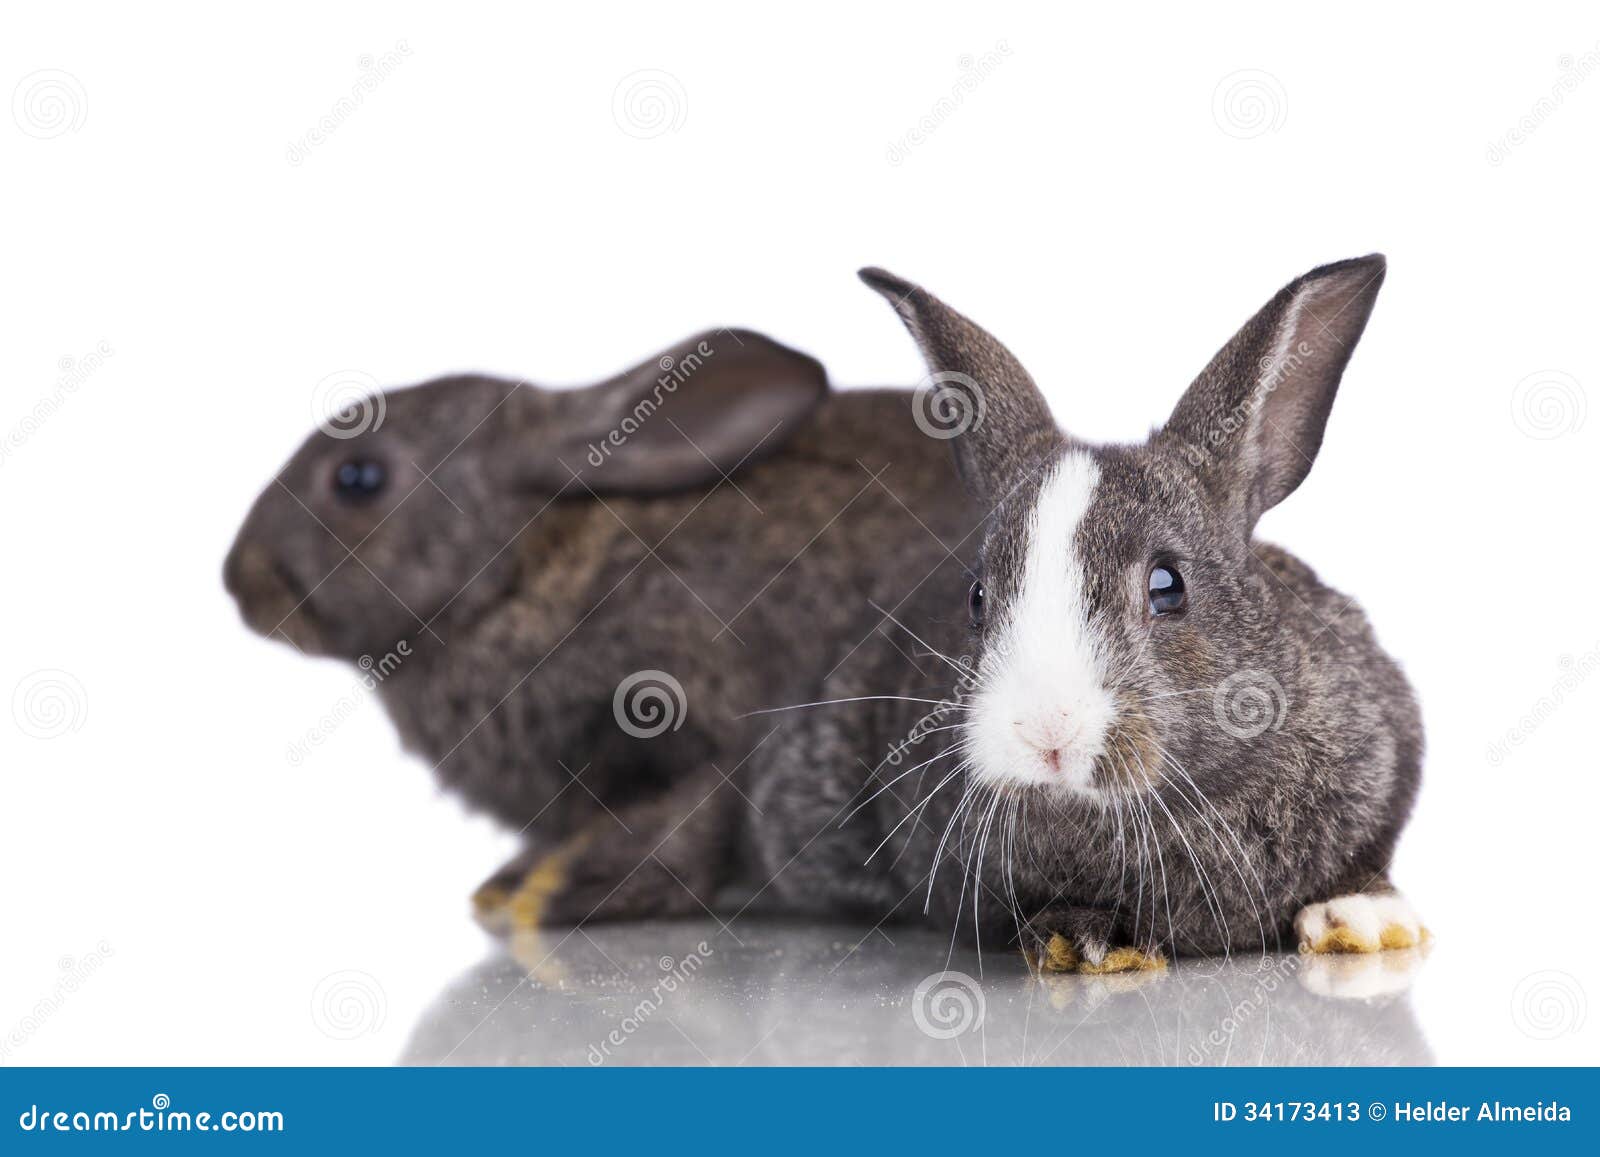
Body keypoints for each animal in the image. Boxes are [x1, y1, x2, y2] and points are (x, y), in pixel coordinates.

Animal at [223, 327, 977, 928]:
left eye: (358, 477)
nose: (238, 583)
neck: (526, 567)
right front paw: (511, 884)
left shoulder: (700, 716)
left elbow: (695, 814)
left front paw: (574, 896)